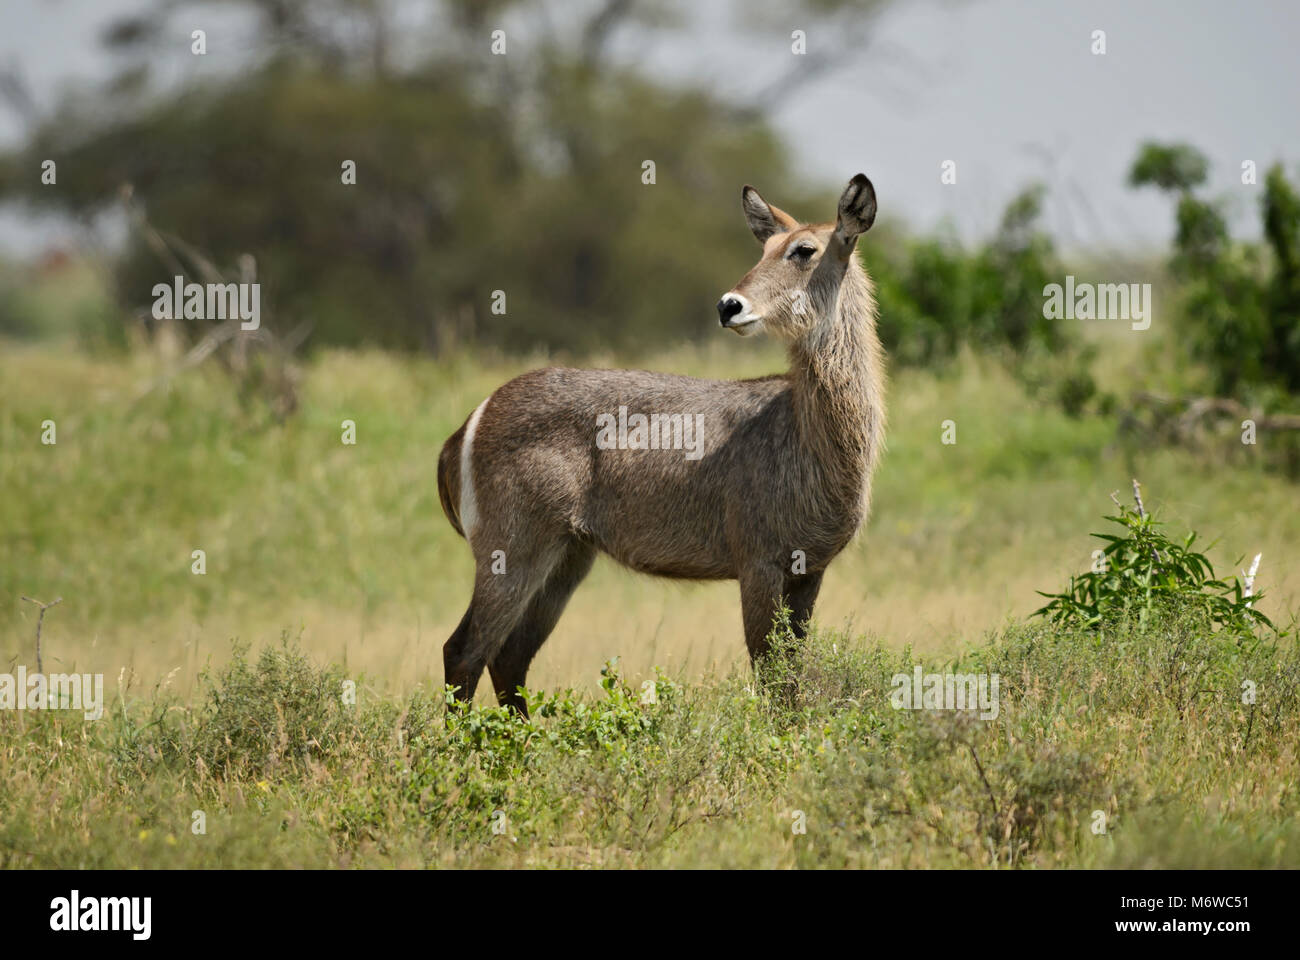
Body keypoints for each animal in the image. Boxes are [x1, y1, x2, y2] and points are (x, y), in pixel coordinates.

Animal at [437, 174, 885, 714]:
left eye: (803, 250)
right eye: (764, 249)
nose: (728, 305)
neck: (807, 434)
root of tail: (469, 422)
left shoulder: (809, 571)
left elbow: (791, 679)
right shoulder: (758, 562)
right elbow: (770, 677)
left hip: (567, 556)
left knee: (509, 656)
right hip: (513, 548)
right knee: (464, 650)